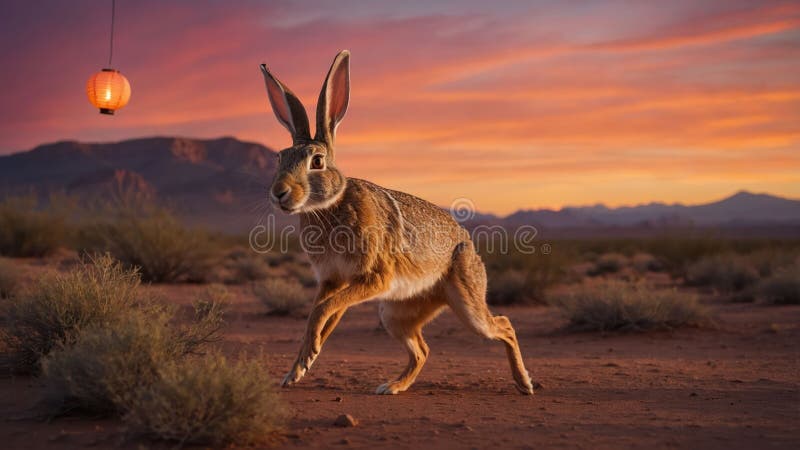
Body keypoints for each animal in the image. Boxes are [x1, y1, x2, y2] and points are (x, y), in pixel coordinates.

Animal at [260, 50, 534, 395]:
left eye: (317, 161)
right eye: (279, 158)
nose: (278, 193)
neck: (330, 206)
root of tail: (468, 242)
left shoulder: (374, 277)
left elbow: (323, 310)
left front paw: (308, 357)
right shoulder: (333, 280)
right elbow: (319, 315)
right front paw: (298, 369)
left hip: (466, 304)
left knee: (504, 325)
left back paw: (524, 383)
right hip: (394, 314)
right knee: (423, 349)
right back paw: (393, 386)